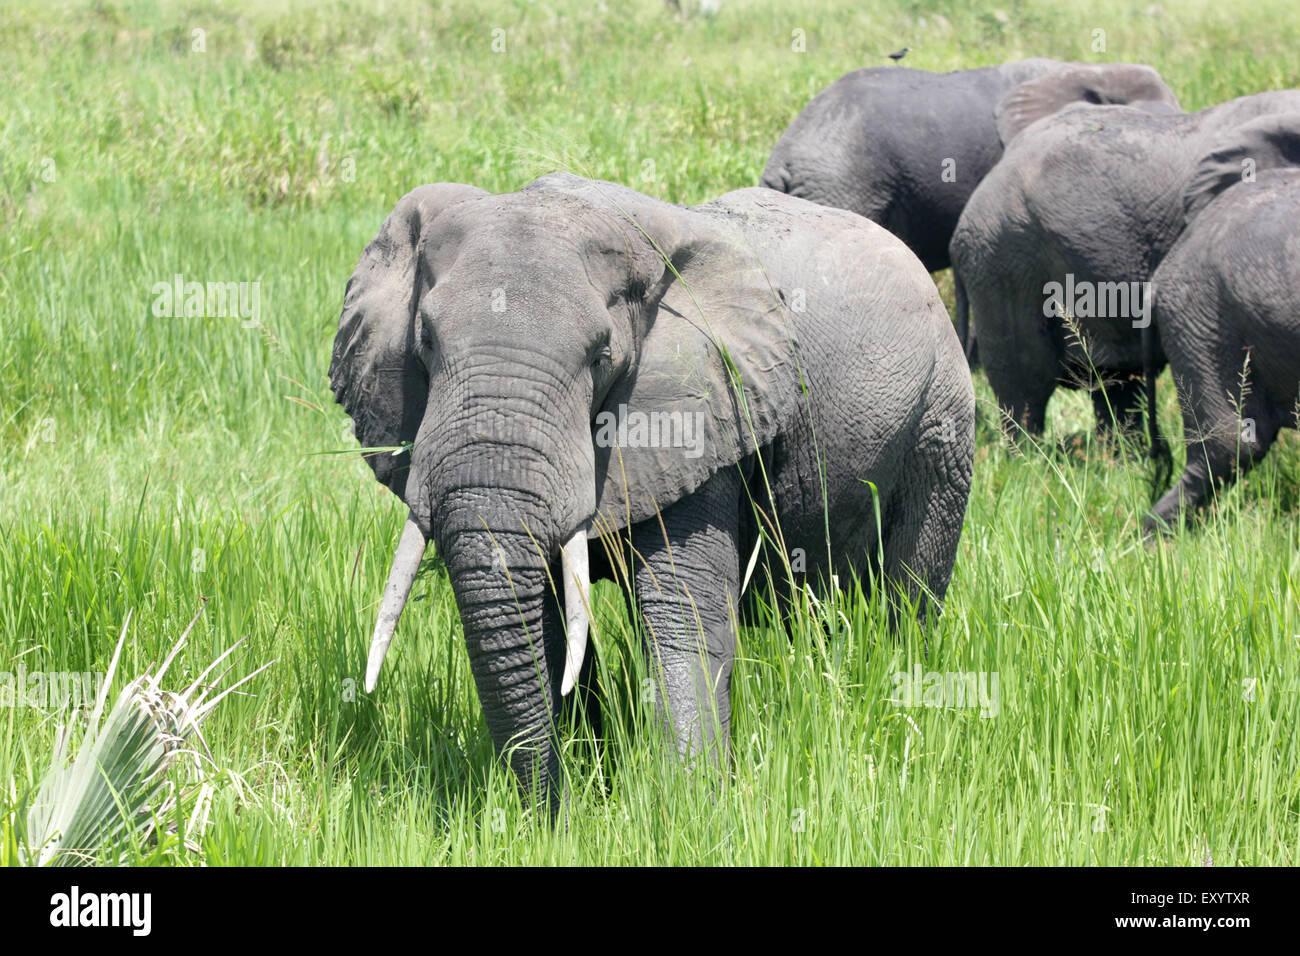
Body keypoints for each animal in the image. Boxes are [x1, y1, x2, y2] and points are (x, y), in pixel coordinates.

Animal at [329, 172, 975, 816]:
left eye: (601, 356)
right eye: (426, 341)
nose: (554, 819)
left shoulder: (702, 409)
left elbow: (680, 616)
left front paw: (690, 809)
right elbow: (546, 621)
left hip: (941, 420)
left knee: (910, 595)